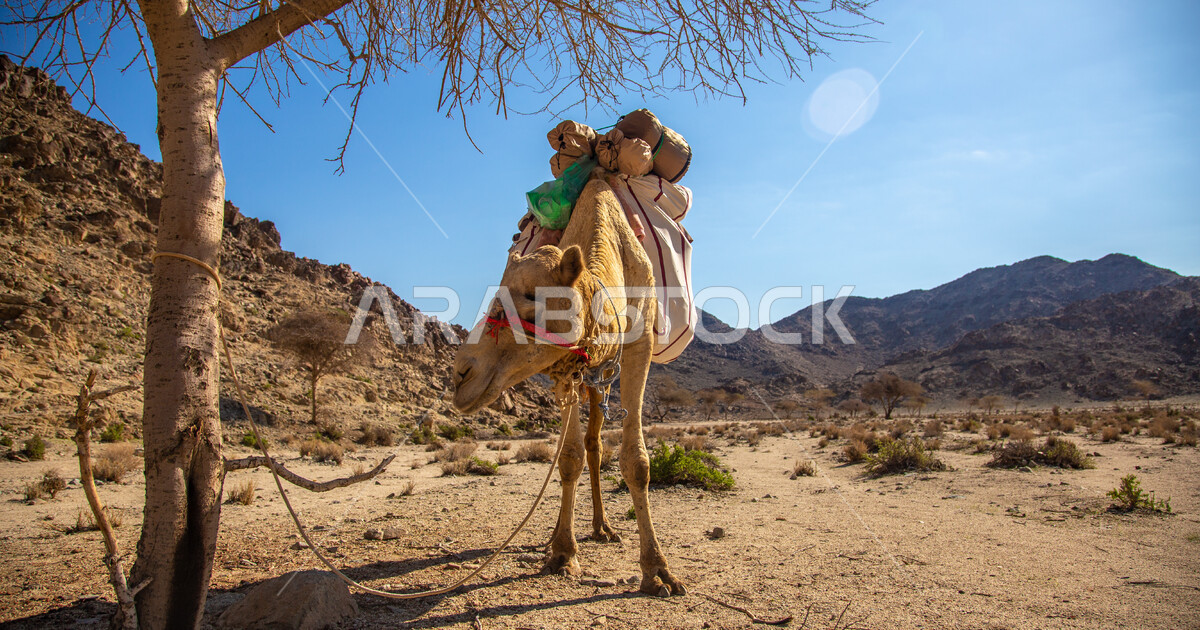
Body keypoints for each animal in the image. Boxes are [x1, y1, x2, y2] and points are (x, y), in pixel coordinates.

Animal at [452, 171, 686, 597]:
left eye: (532, 304)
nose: (461, 375)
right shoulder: (564, 368)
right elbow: (569, 456)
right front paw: (562, 552)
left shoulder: (638, 346)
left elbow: (637, 462)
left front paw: (658, 571)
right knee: (590, 445)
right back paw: (582, 530)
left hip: (601, 377)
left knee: (598, 442)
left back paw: (603, 527)